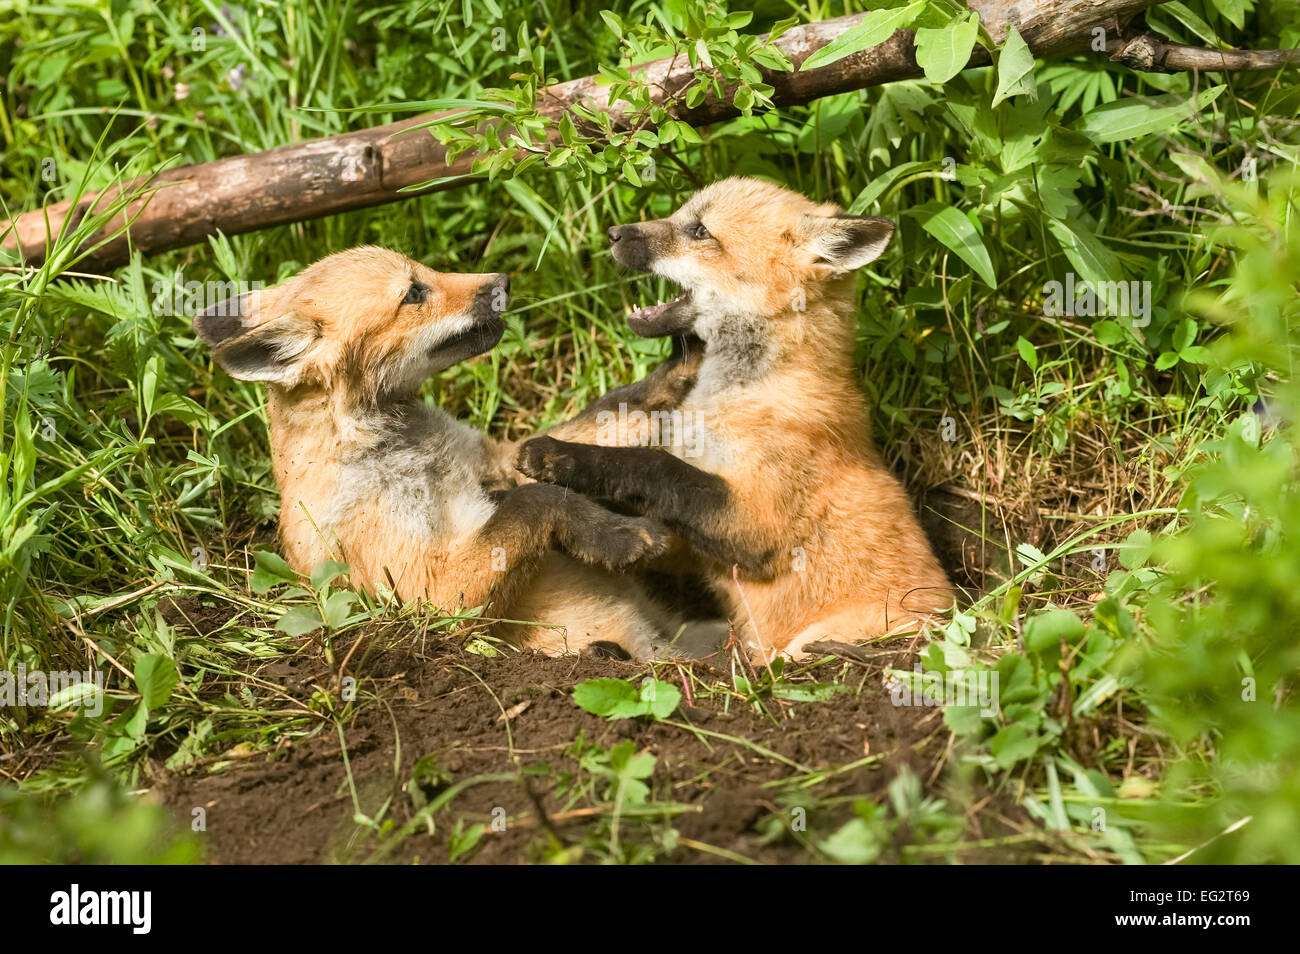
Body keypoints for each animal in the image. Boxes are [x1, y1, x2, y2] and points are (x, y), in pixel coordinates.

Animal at [193, 245, 682, 658]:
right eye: (414, 293)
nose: (504, 280)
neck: (409, 452)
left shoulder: (497, 462)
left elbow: (594, 421)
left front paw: (668, 379)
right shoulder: (426, 595)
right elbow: (534, 501)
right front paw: (617, 535)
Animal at [517, 177, 954, 662]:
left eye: (700, 232)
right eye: (681, 216)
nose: (613, 233)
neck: (746, 392)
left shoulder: (759, 525)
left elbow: (653, 466)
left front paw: (559, 456)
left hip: (816, 645)